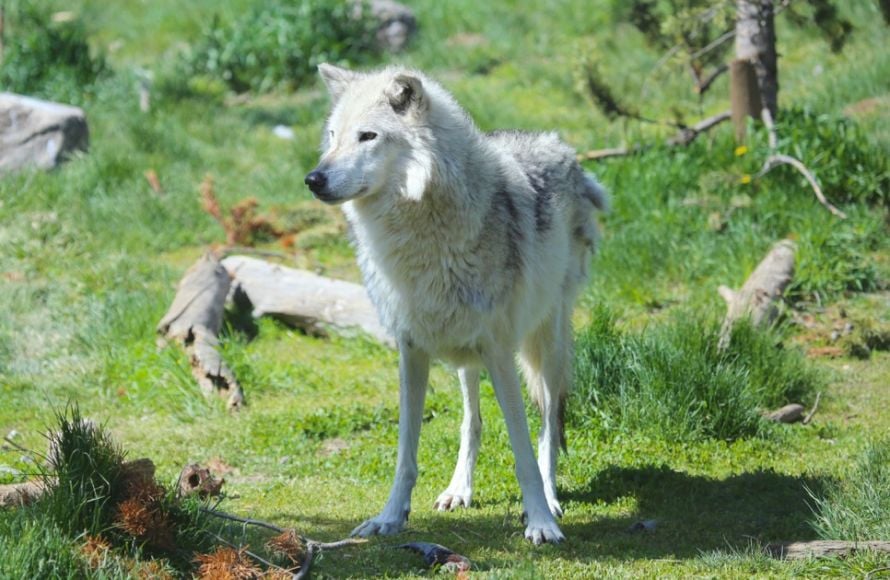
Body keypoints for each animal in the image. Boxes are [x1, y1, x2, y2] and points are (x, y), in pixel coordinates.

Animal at [305, 63, 607, 544]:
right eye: (333, 135)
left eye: (368, 136)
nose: (314, 179)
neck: (418, 235)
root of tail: (558, 143)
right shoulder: (411, 351)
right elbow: (406, 453)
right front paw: (390, 516)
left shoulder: (500, 352)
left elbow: (523, 451)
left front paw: (540, 521)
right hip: (466, 354)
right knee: (472, 422)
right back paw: (458, 490)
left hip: (547, 342)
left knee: (548, 421)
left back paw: (551, 498)